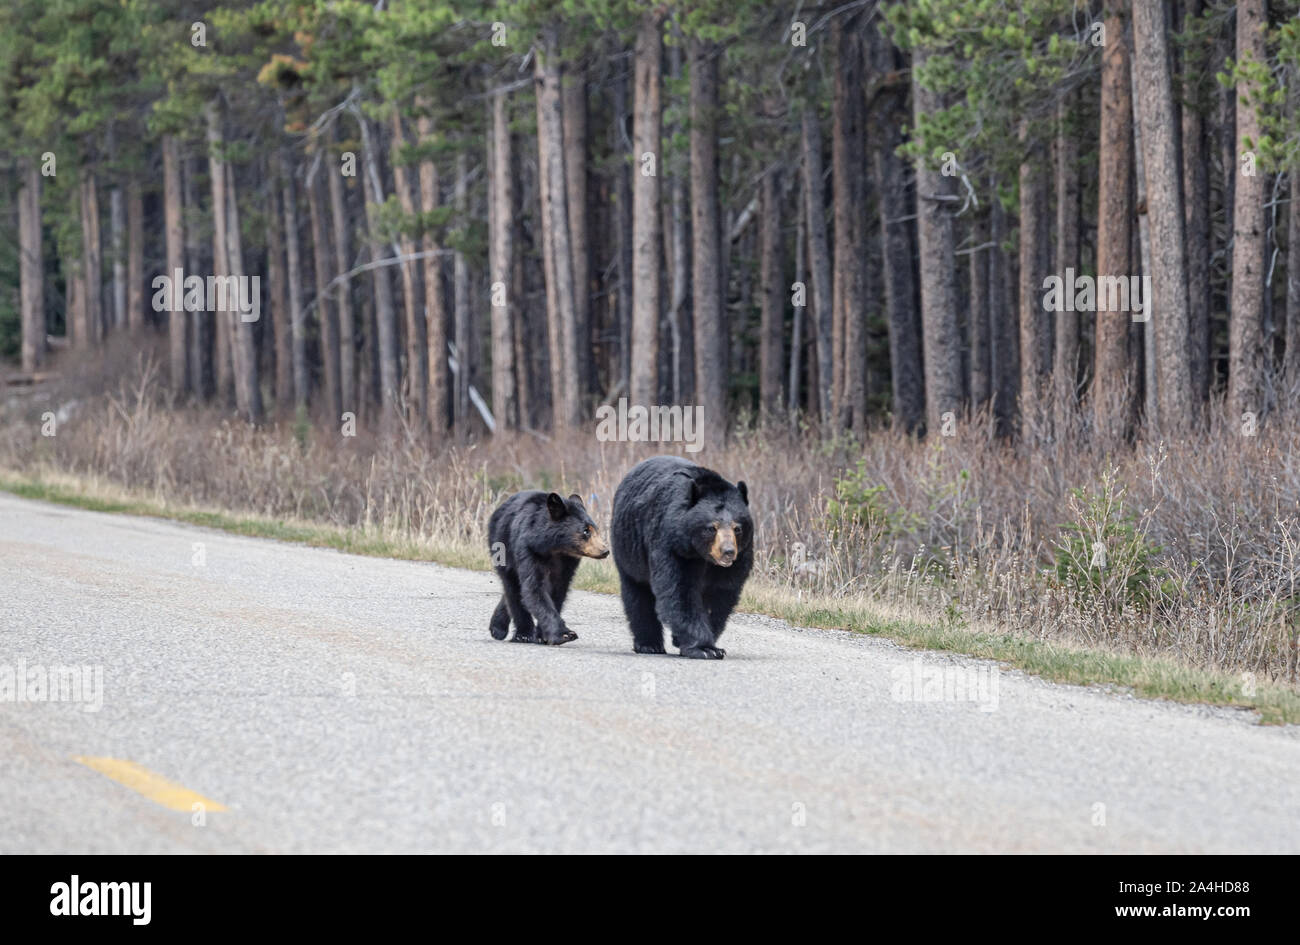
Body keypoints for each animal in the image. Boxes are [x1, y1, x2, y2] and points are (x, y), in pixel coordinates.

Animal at [487, 491, 609, 645]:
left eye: (596, 530)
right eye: (586, 531)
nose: (605, 551)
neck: (554, 548)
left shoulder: (567, 562)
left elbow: (558, 590)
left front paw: (543, 636)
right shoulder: (528, 549)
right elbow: (534, 588)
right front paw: (564, 634)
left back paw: (498, 627)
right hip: (502, 547)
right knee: (513, 588)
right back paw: (521, 634)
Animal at [611, 456, 753, 659]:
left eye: (737, 528)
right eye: (712, 527)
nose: (728, 551)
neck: (702, 555)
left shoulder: (737, 561)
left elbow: (719, 596)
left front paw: (702, 642)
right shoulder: (673, 546)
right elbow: (680, 590)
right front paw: (704, 648)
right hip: (628, 549)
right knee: (637, 593)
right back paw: (649, 645)